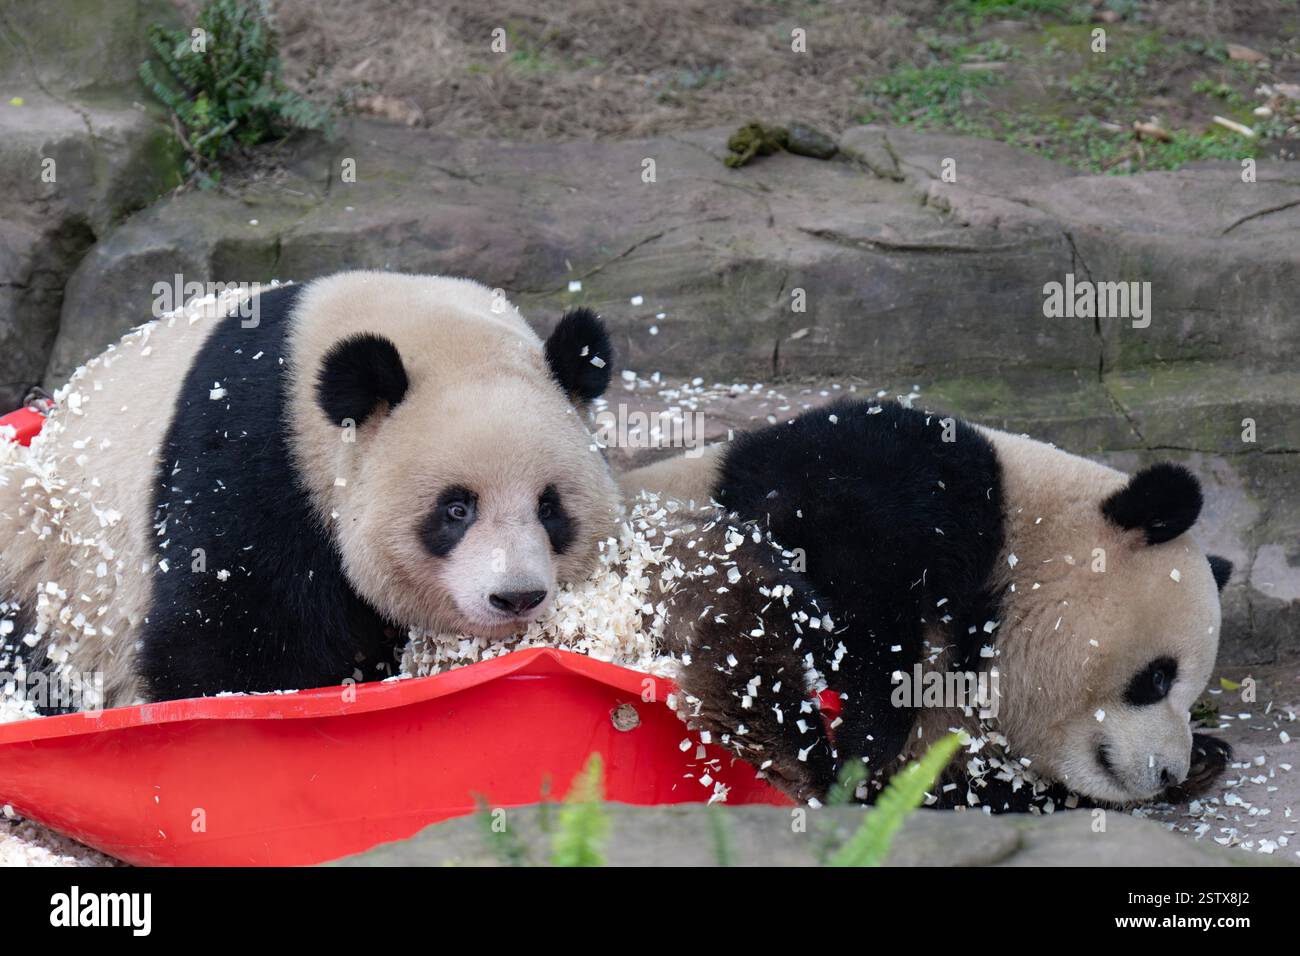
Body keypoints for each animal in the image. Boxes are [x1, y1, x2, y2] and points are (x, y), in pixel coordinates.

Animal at [0, 272, 621, 710]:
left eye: (549, 507)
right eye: (455, 508)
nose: (516, 597)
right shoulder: (252, 453)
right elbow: (225, 631)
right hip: (58, 553)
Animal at [620, 398, 1235, 811]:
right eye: (1157, 678)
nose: (1168, 772)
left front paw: (1209, 755)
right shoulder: (914, 473)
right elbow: (850, 558)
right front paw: (865, 736)